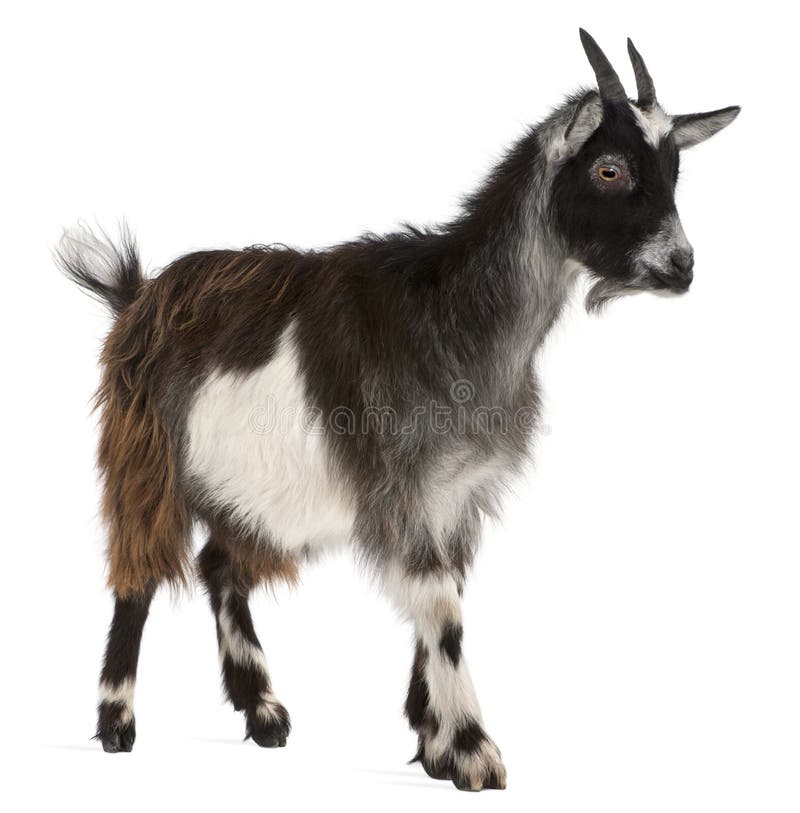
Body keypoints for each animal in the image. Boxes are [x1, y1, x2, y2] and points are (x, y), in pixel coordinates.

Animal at [57, 30, 739, 791]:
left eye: (676, 168)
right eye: (610, 168)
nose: (680, 266)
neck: (453, 315)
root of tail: (138, 295)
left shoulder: (456, 495)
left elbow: (439, 604)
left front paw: (433, 743)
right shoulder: (403, 485)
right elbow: (442, 610)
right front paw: (473, 751)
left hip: (246, 485)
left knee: (219, 567)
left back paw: (263, 710)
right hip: (144, 452)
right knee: (138, 573)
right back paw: (118, 721)